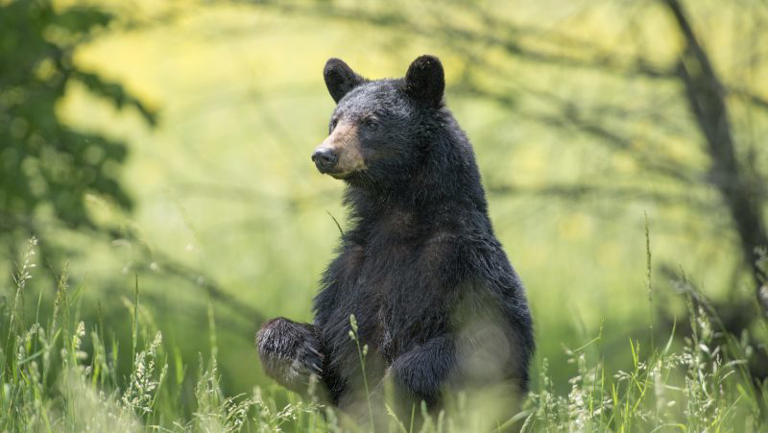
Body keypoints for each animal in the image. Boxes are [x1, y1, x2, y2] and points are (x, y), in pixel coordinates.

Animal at [256, 55, 534, 423]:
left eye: (371, 122)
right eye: (334, 121)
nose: (323, 154)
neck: (397, 220)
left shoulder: (466, 261)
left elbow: (488, 339)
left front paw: (388, 395)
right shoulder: (349, 272)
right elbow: (332, 336)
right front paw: (298, 357)